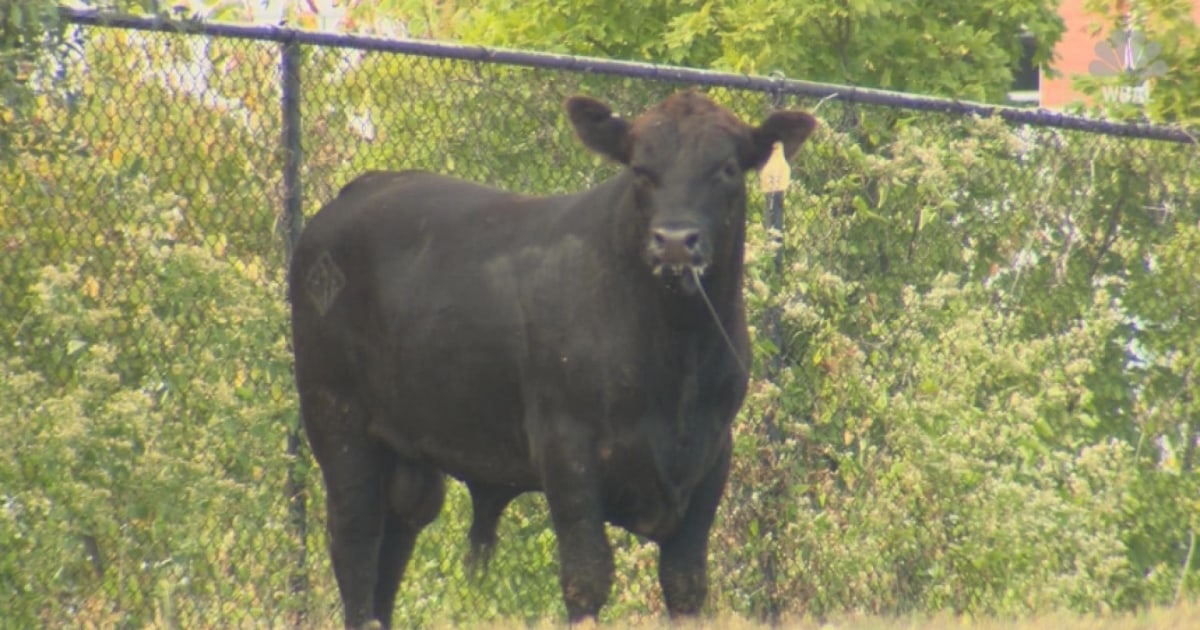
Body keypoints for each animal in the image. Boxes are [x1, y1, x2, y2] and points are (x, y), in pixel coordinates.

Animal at [287, 90, 816, 628]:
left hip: (407, 451)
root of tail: (357, 191)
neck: (677, 357)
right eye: (641, 169)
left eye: (727, 168)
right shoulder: (567, 445)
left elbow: (685, 580)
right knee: (355, 543)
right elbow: (587, 576)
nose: (673, 242)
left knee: (394, 546)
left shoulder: (713, 453)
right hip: (336, 419)